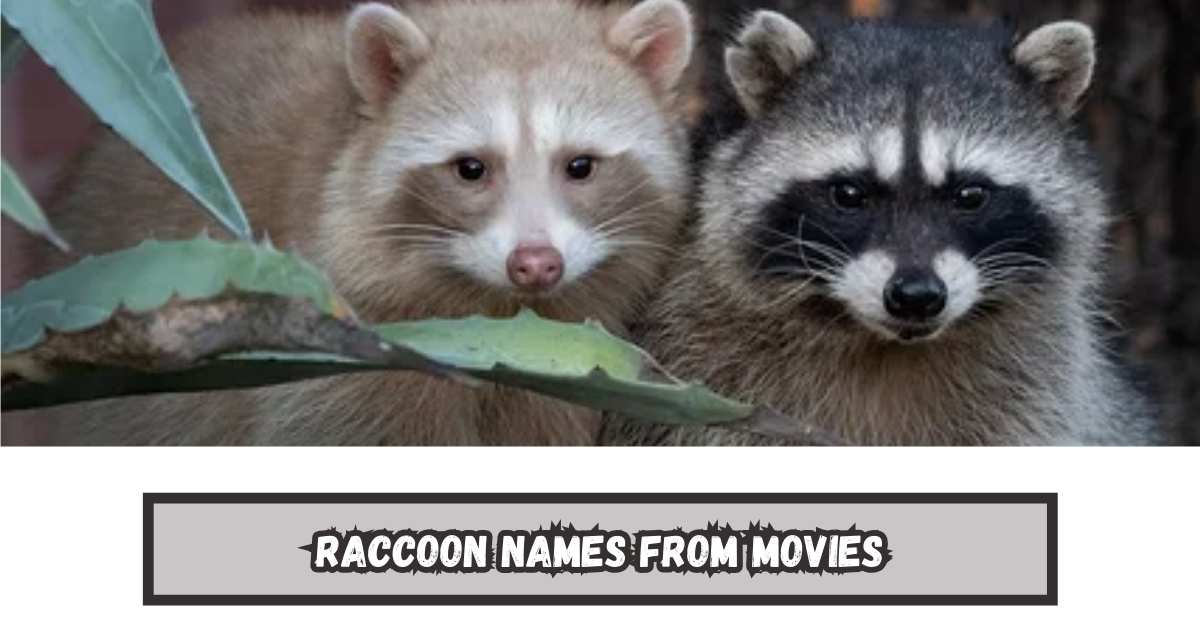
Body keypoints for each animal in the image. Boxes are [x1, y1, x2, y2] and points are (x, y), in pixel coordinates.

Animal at [10, 0, 695, 445]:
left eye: (580, 166)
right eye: (470, 168)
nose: (535, 263)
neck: (500, 311)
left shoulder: (571, 369)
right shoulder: (341, 347)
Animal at [601, 11, 1159, 445]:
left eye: (970, 196)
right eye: (850, 195)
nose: (916, 296)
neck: (881, 344)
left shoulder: (1044, 390)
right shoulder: (695, 361)